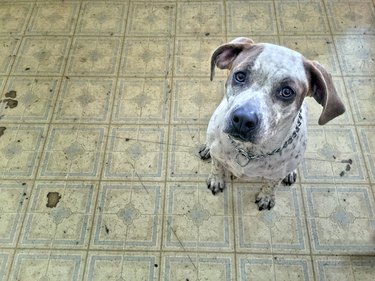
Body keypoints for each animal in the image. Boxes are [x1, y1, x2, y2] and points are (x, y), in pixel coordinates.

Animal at [200, 37, 346, 210]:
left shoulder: (276, 175)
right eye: (240, 76)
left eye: (287, 91)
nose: (243, 119)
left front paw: (267, 197)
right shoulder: (218, 155)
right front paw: (216, 179)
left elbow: (272, 184)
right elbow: (217, 166)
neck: (249, 151)